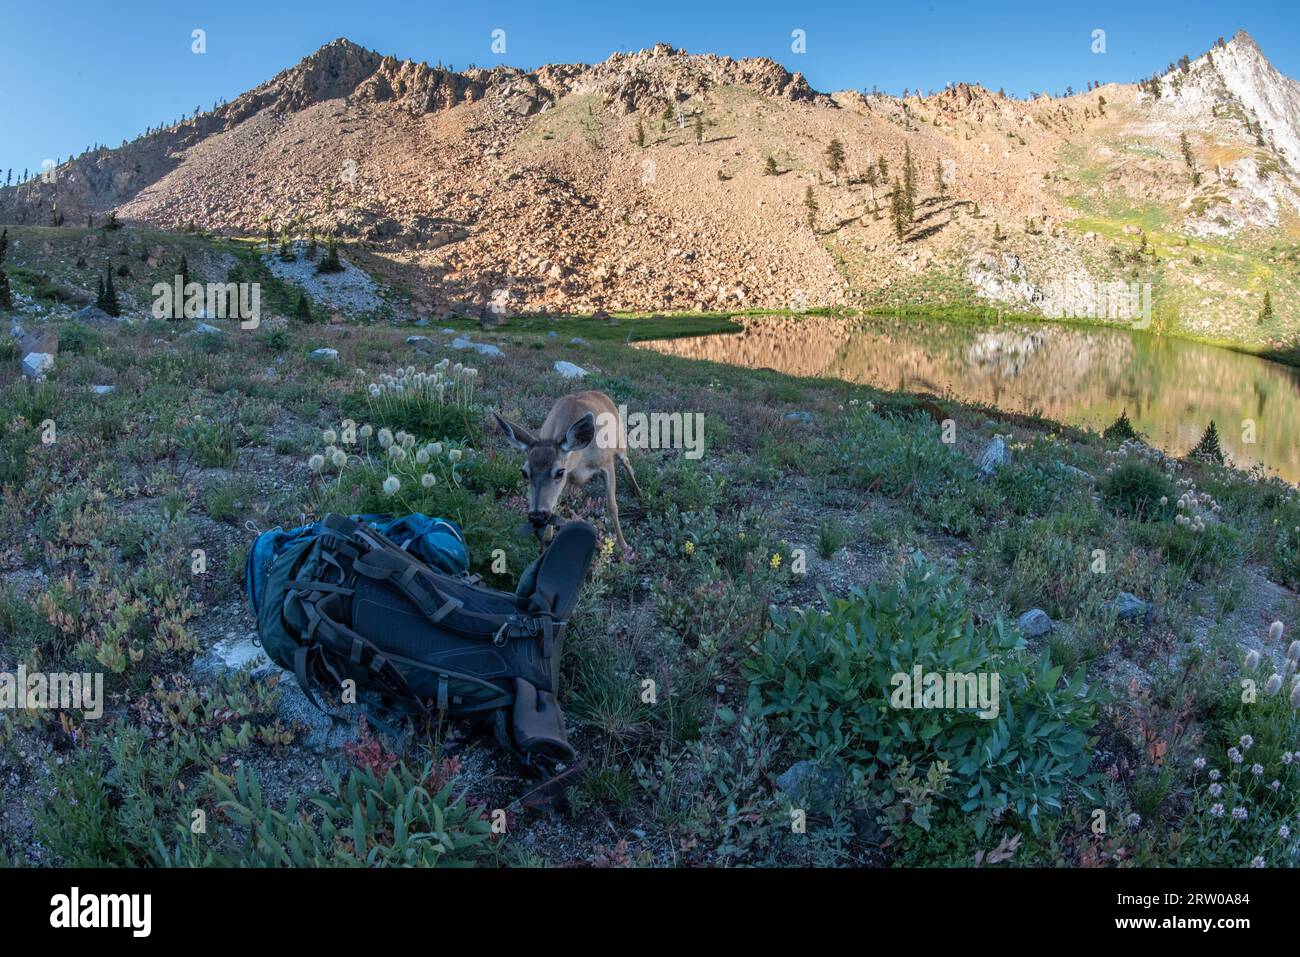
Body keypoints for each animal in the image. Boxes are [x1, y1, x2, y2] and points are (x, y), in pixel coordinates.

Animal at [494, 391, 642, 558]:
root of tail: (600, 393)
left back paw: (639, 493)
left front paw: (624, 546)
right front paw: (546, 547)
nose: (537, 516)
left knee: (627, 463)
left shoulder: (607, 462)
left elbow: (612, 506)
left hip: (620, 442)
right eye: (524, 472)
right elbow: (555, 509)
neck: (581, 459)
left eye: (559, 472)